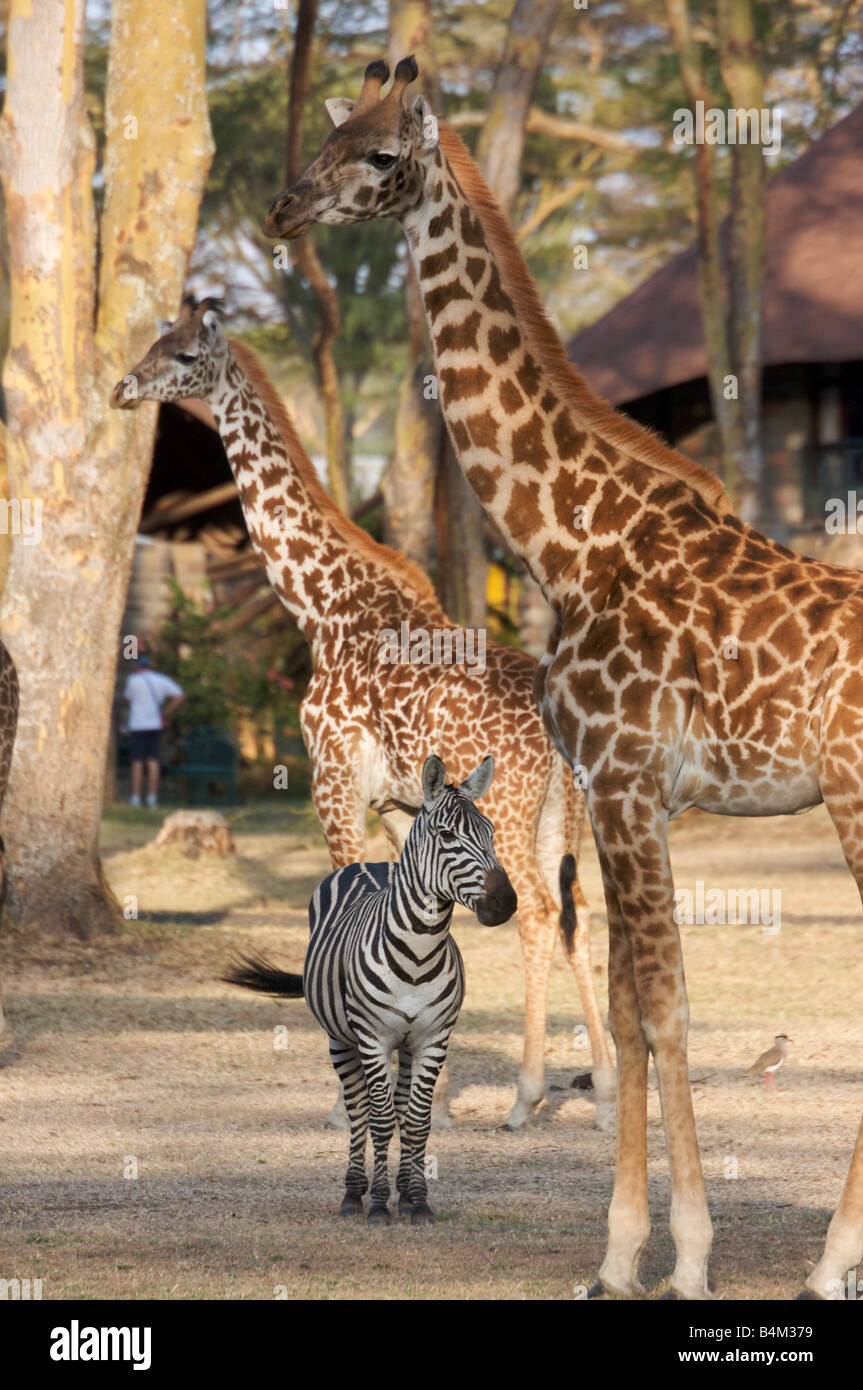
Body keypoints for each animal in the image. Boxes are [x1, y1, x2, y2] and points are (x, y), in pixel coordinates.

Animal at [110, 300, 615, 1133]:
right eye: (152, 343)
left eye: (180, 354)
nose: (123, 387)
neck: (321, 609)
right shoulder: (398, 805)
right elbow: (402, 916)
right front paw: (418, 1088)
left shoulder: (333, 783)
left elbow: (347, 906)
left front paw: (353, 1098)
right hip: (560, 815)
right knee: (578, 912)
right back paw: (603, 1096)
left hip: (511, 812)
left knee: (539, 914)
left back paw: (525, 1096)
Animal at [224, 753, 517, 1226]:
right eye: (448, 835)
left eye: (491, 833)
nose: (504, 904)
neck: (418, 955)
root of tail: (372, 863)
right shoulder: (373, 1038)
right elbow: (379, 1120)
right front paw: (378, 1204)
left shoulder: (434, 1038)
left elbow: (416, 1120)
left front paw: (417, 1201)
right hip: (341, 1038)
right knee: (360, 1108)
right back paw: (352, 1193)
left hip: (406, 1045)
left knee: (399, 1107)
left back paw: (401, 1192)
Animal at [263, 55, 863, 1300]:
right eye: (332, 134)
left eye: (380, 154)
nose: (286, 208)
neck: (573, 541)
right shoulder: (629, 794)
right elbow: (633, 1009)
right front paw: (623, 1253)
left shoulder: (627, 782)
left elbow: (664, 1013)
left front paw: (678, 1258)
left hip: (849, 797)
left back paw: (829, 1263)